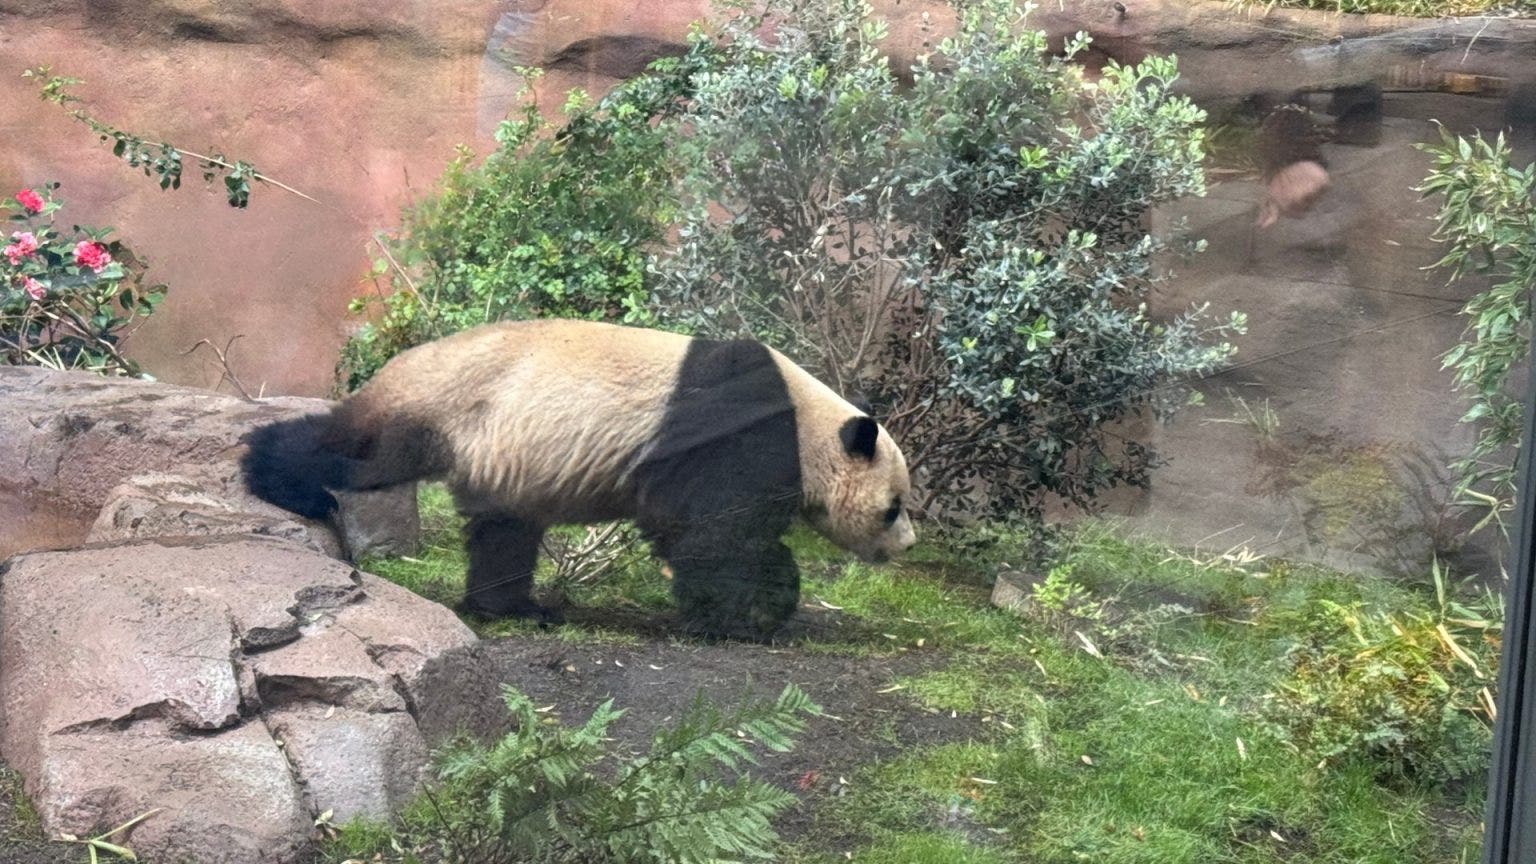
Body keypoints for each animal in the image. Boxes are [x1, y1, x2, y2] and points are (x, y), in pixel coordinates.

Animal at [241, 319, 916, 640]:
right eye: (894, 505)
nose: (908, 545)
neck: (808, 424)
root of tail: (400, 362)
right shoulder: (736, 431)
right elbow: (707, 531)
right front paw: (752, 615)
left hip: (497, 450)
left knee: (504, 531)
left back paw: (515, 607)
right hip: (440, 407)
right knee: (359, 453)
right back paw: (273, 476)